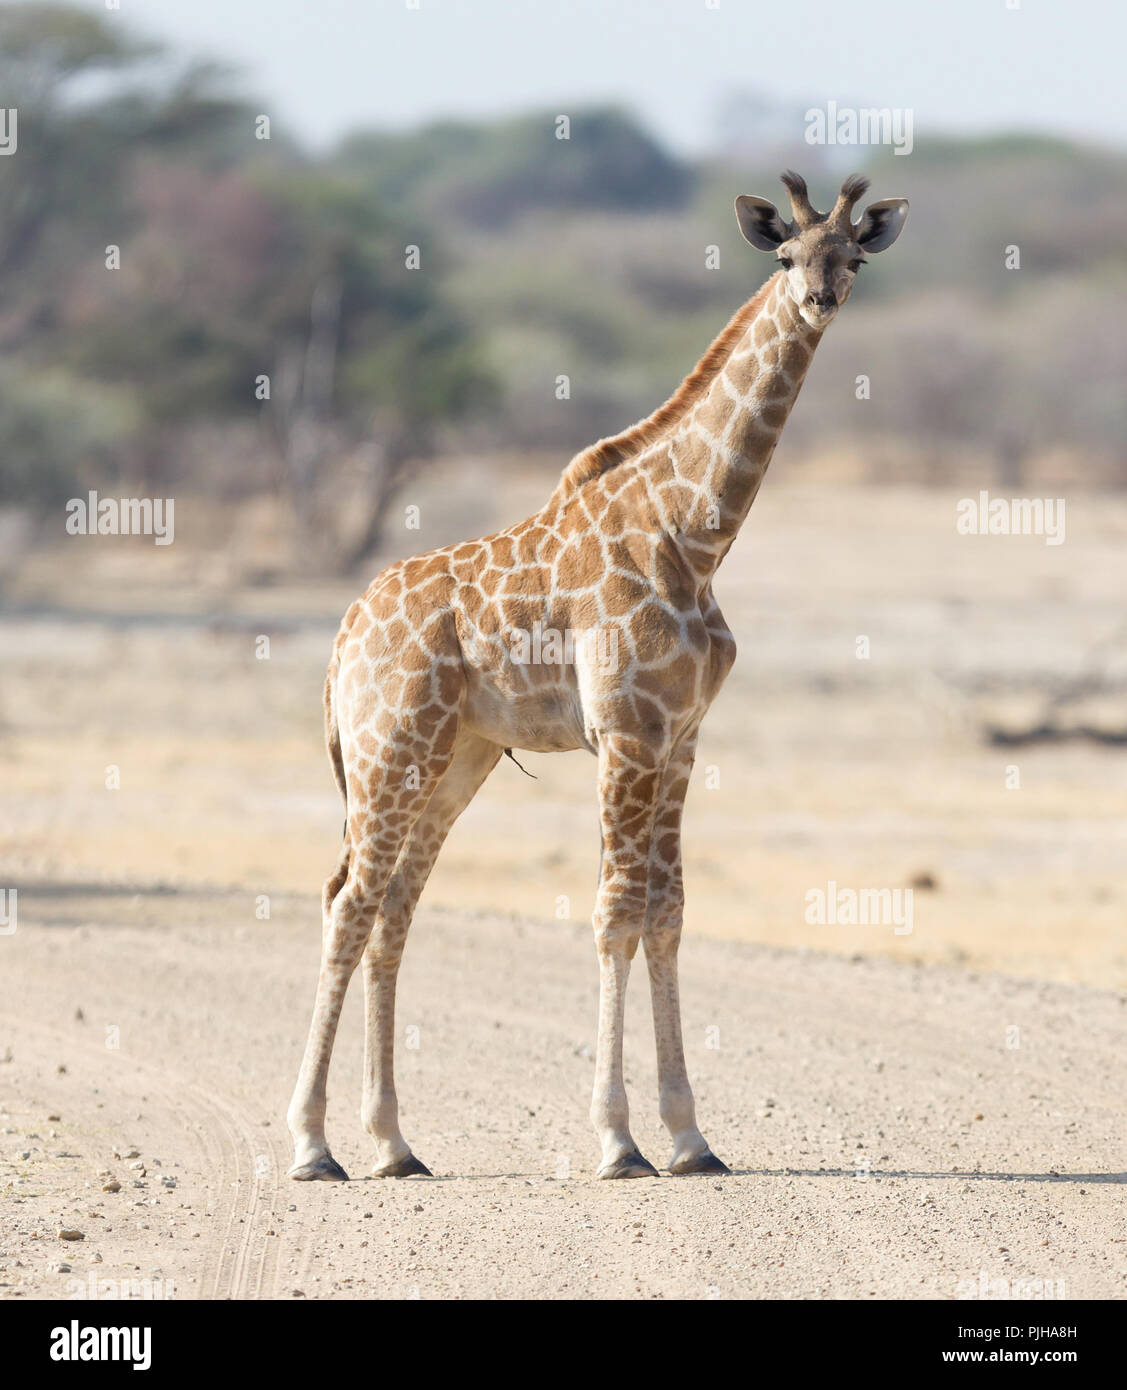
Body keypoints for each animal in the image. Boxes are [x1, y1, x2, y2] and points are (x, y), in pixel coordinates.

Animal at [287, 171, 908, 1181]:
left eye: (851, 254)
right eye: (784, 255)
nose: (820, 298)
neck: (695, 533)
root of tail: (346, 630)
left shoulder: (681, 738)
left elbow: (668, 914)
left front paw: (690, 1138)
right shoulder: (623, 731)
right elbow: (615, 913)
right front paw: (618, 1142)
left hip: (454, 760)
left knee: (393, 911)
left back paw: (393, 1145)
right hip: (389, 749)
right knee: (348, 903)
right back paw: (312, 1146)